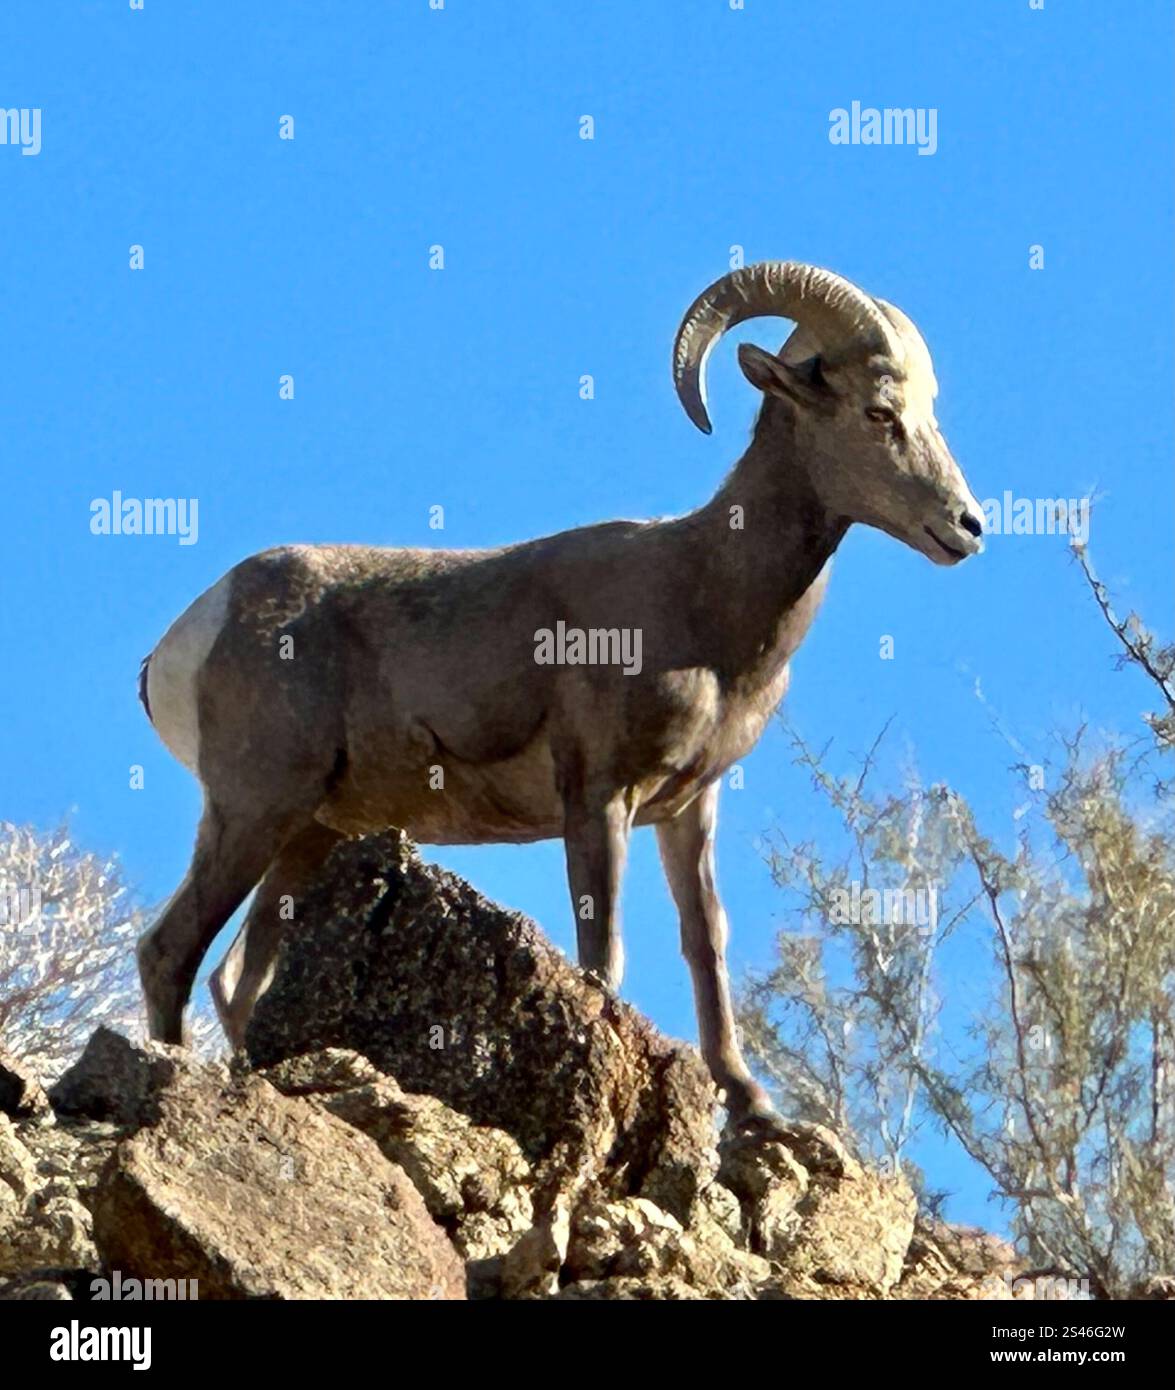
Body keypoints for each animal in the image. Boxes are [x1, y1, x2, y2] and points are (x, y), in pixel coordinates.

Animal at [137, 261, 983, 1135]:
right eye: (877, 412)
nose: (967, 525)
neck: (703, 598)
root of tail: (188, 635)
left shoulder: (685, 809)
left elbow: (704, 939)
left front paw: (750, 1102)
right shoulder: (598, 795)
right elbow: (602, 946)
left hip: (308, 835)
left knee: (236, 977)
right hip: (253, 809)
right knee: (170, 951)